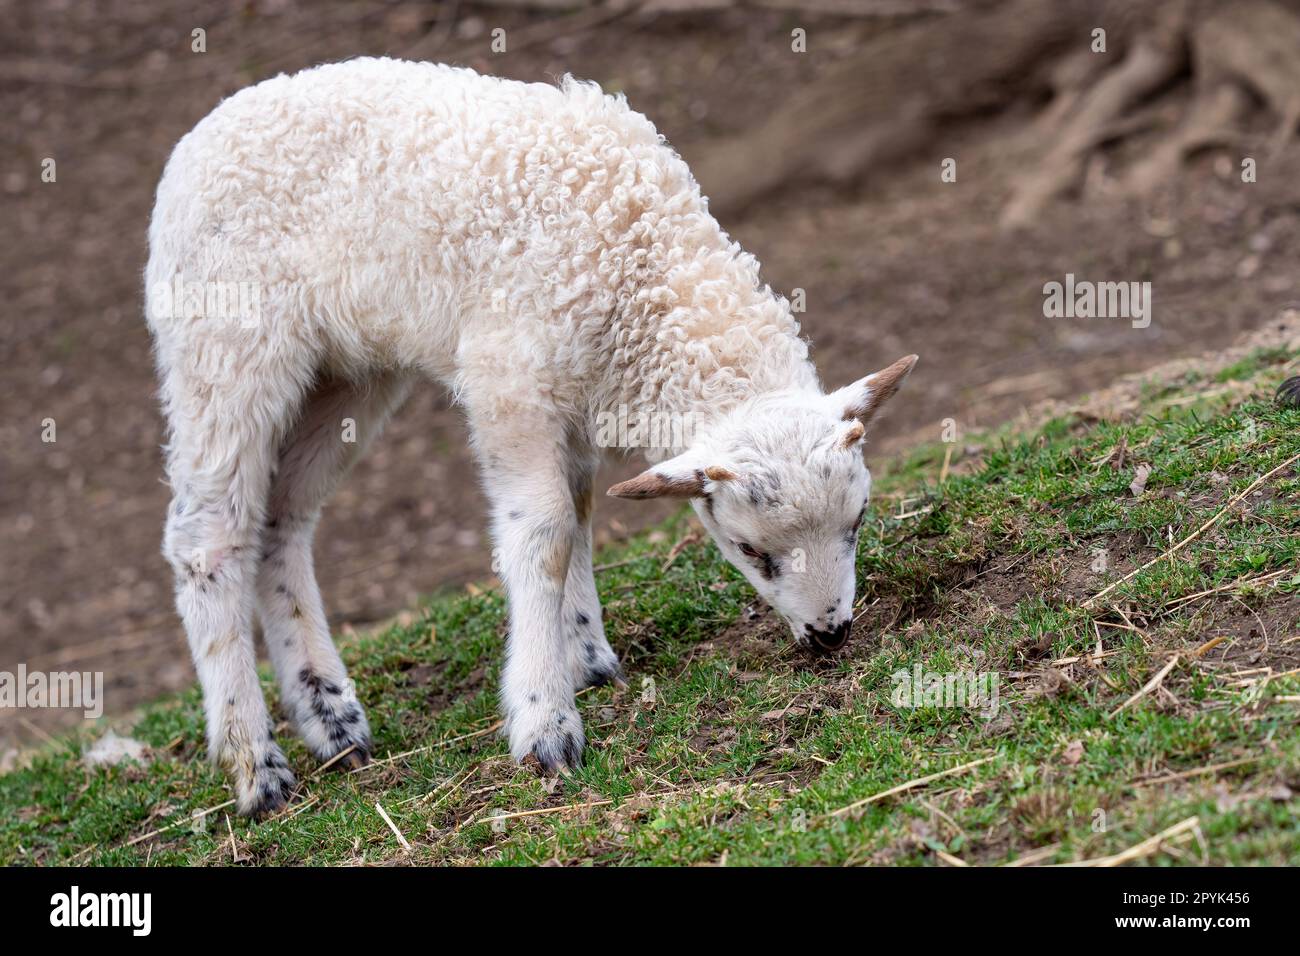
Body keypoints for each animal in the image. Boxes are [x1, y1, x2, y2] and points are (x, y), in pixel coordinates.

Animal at [145, 57, 917, 816]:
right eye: (751, 550)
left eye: (858, 521)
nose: (831, 635)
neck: (637, 260)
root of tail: (191, 145)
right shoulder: (510, 380)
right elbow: (544, 533)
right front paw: (545, 720)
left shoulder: (570, 397)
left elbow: (578, 515)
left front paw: (587, 657)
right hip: (225, 343)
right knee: (208, 533)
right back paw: (256, 765)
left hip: (347, 373)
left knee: (281, 520)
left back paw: (332, 719)